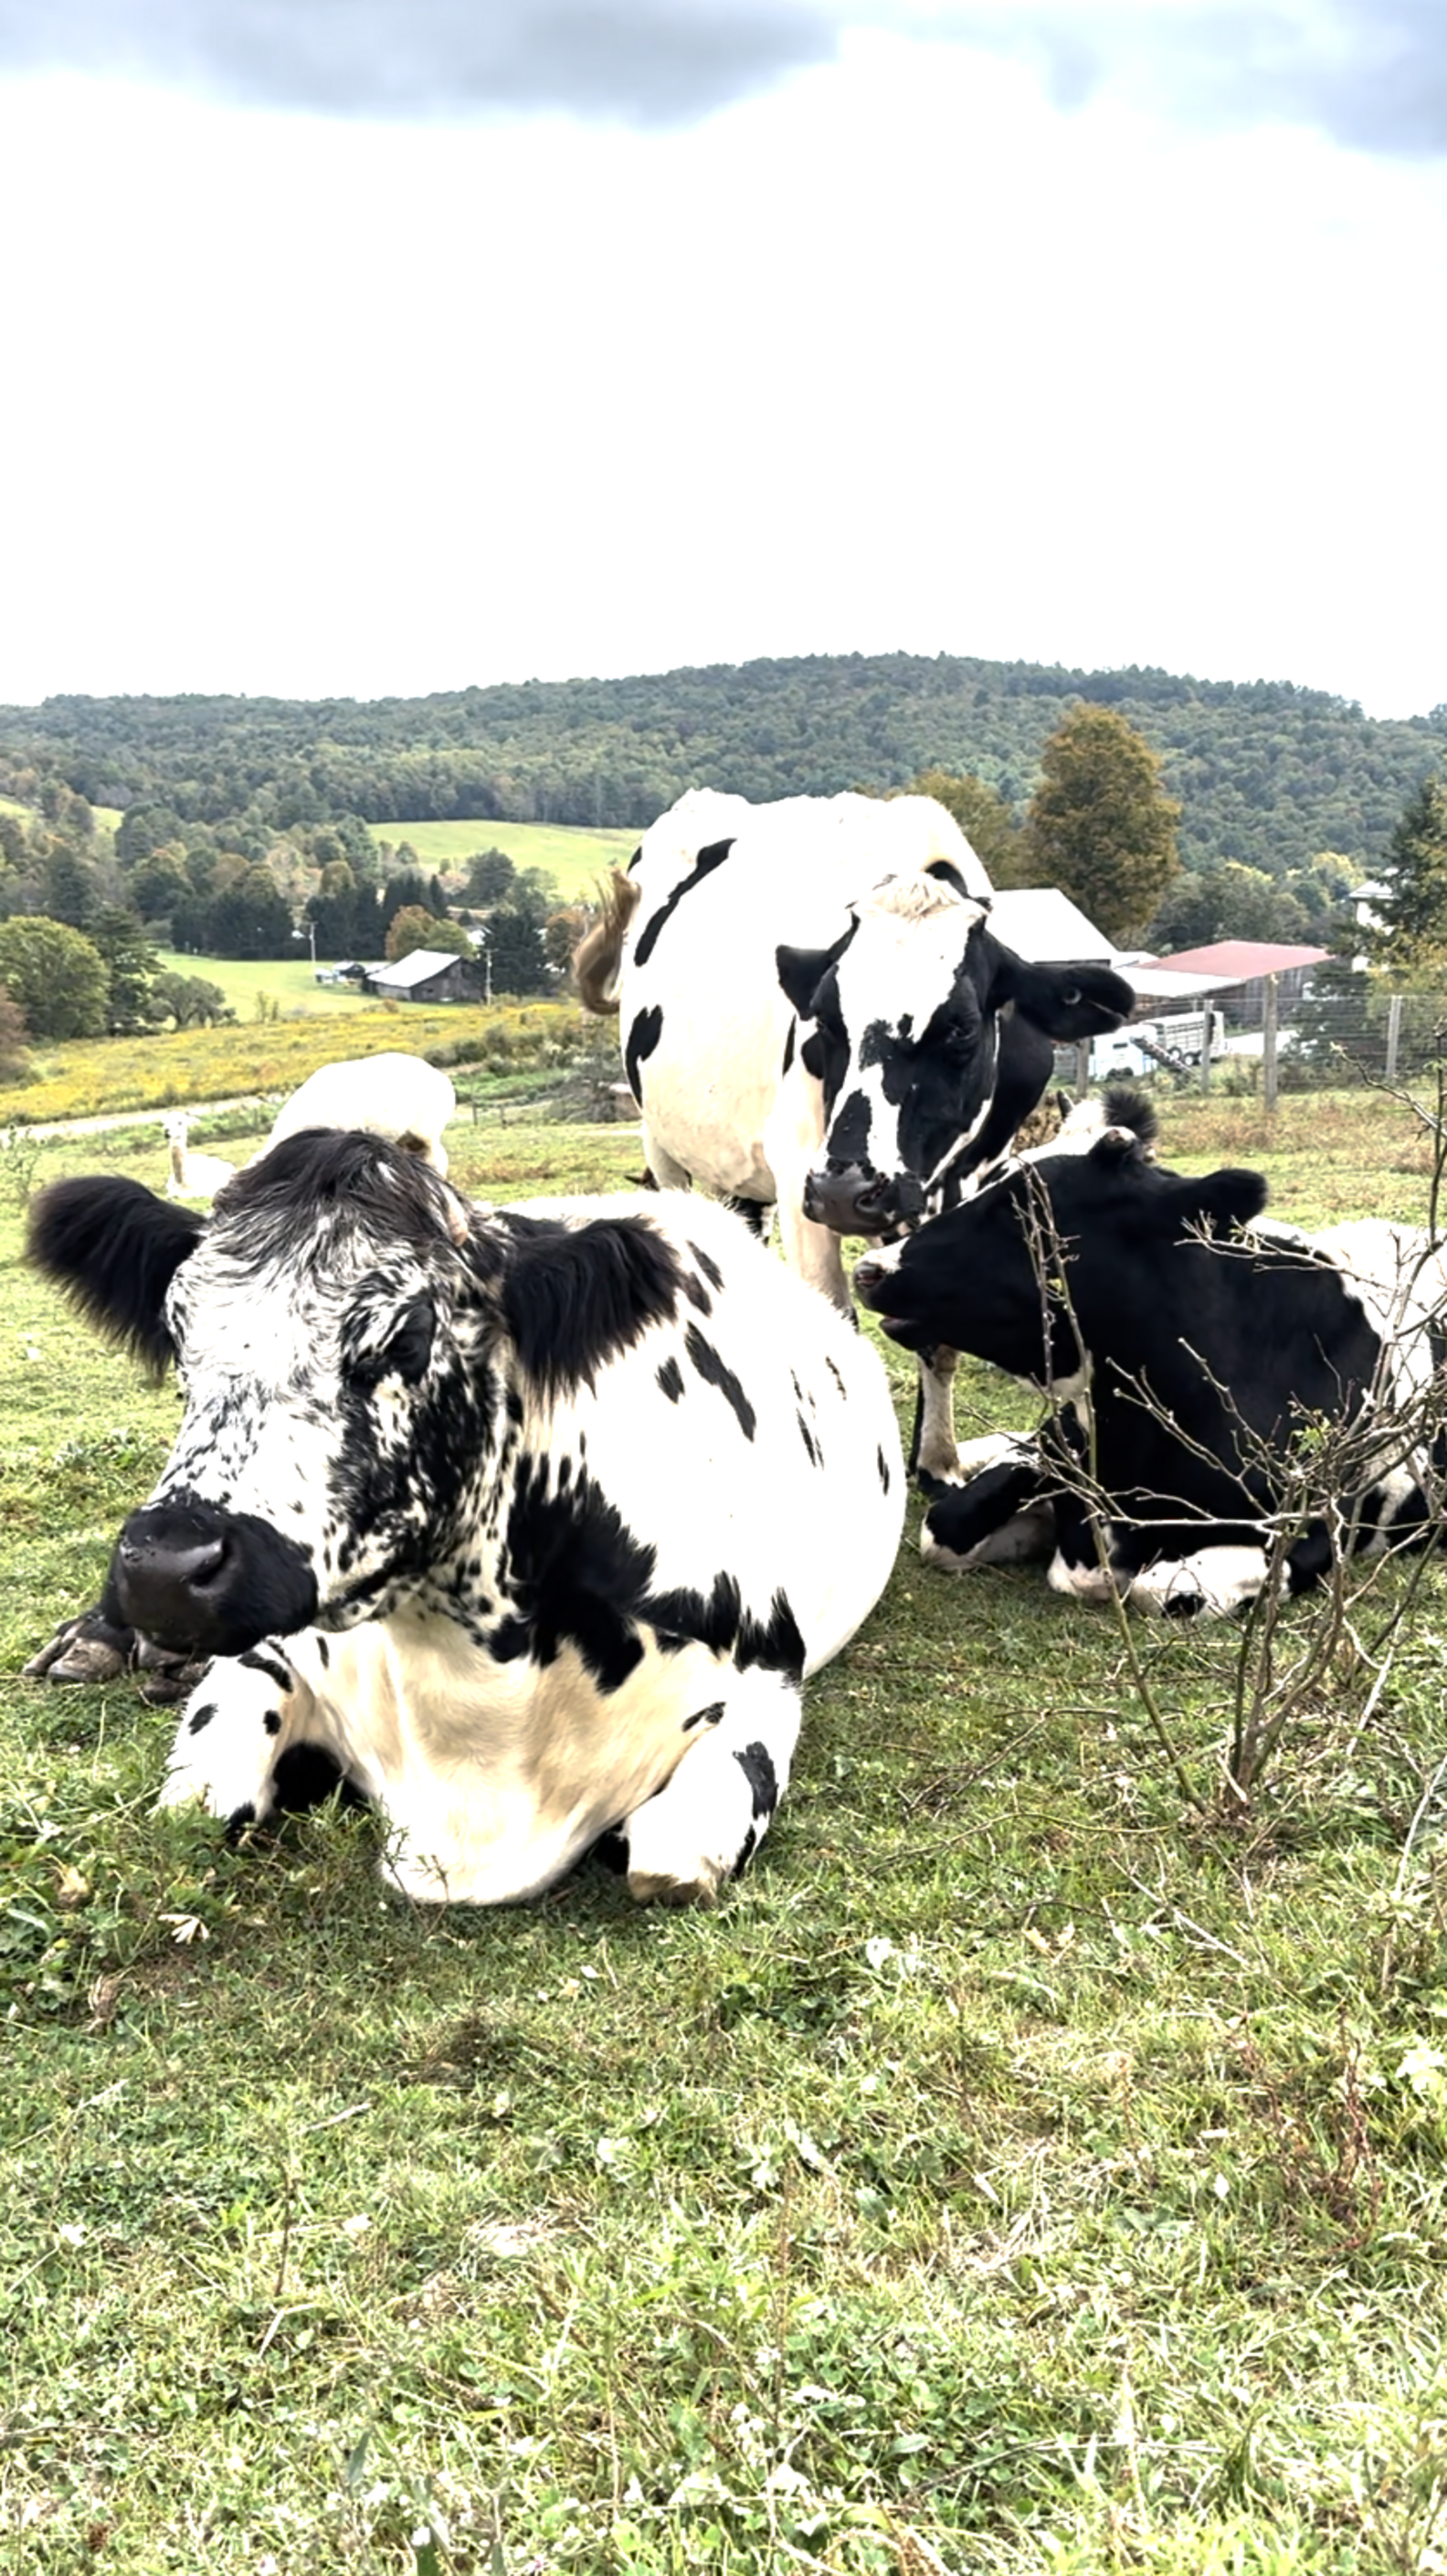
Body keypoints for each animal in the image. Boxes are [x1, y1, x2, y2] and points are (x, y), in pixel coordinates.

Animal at [26, 1132, 905, 1903]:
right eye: (179, 1338)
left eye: (404, 1337)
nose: (166, 1568)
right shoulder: (271, 1653)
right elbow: (199, 1800)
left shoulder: (763, 1678)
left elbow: (672, 1857)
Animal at [574, 787, 1134, 1474]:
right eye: (824, 1018)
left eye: (960, 1026)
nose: (849, 1192)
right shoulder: (800, 1173)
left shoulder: (967, 1179)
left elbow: (937, 1329)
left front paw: (940, 1461)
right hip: (666, 1147)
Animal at [854, 1105, 1447, 1618]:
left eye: (1024, 1210)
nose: (870, 1268)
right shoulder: (1053, 1449)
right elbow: (944, 1528)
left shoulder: (1312, 1535)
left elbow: (1156, 1587)